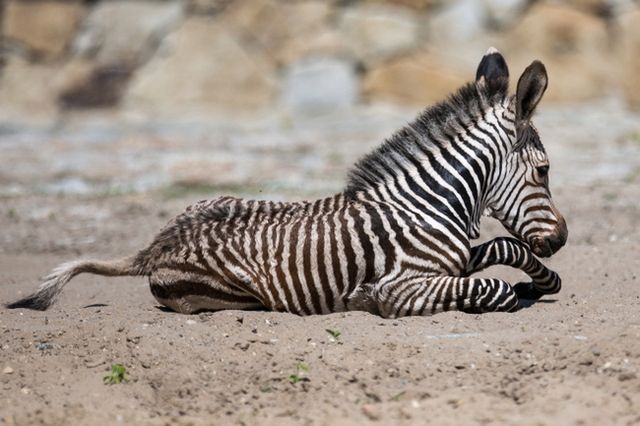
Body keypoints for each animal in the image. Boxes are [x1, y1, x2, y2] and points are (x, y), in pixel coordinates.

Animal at [6, 48, 567, 318]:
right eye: (543, 170)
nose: (563, 239)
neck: (427, 204)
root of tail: (157, 246)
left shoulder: (455, 260)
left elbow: (506, 248)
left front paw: (545, 281)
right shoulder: (406, 284)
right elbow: (494, 287)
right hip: (237, 295)